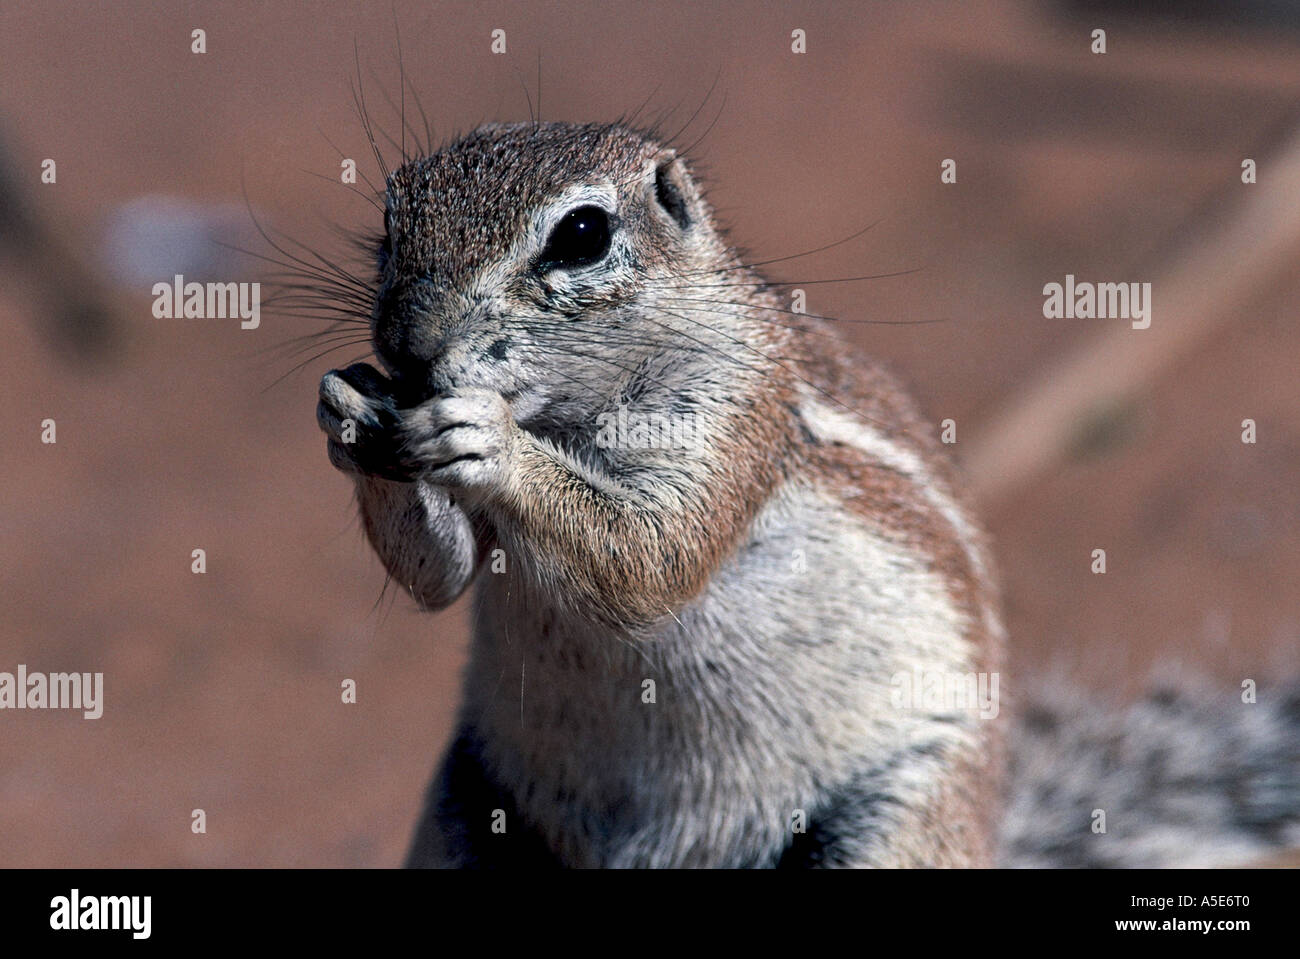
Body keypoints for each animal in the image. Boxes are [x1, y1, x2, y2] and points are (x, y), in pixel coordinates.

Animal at [315, 121, 1298, 868]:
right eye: (390, 225)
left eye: (582, 234)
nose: (409, 348)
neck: (568, 410)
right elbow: (440, 577)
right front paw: (349, 410)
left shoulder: (736, 418)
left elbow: (650, 560)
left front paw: (487, 438)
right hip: (463, 817)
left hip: (896, 821)